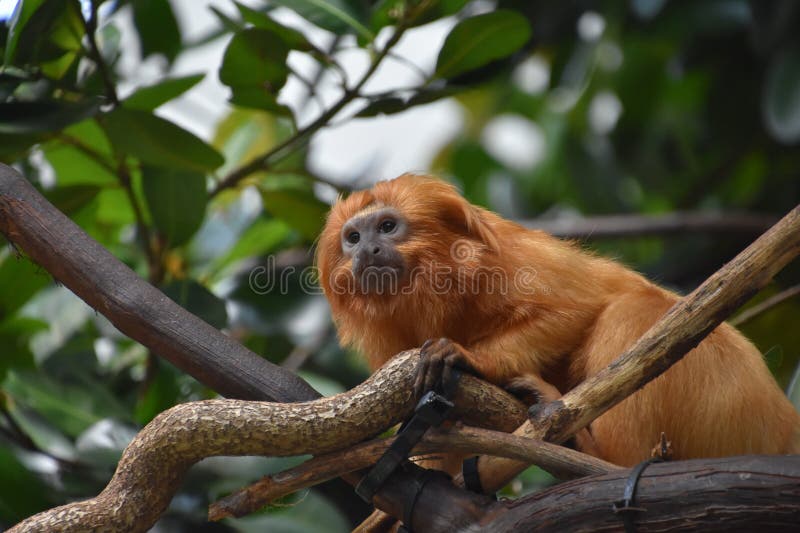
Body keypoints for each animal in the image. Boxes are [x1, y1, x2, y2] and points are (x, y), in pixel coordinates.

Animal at [316, 173, 800, 468]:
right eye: (353, 237)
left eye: (387, 227)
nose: (367, 250)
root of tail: (782, 422)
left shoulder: (510, 263)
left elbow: (573, 309)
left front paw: (469, 357)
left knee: (631, 312)